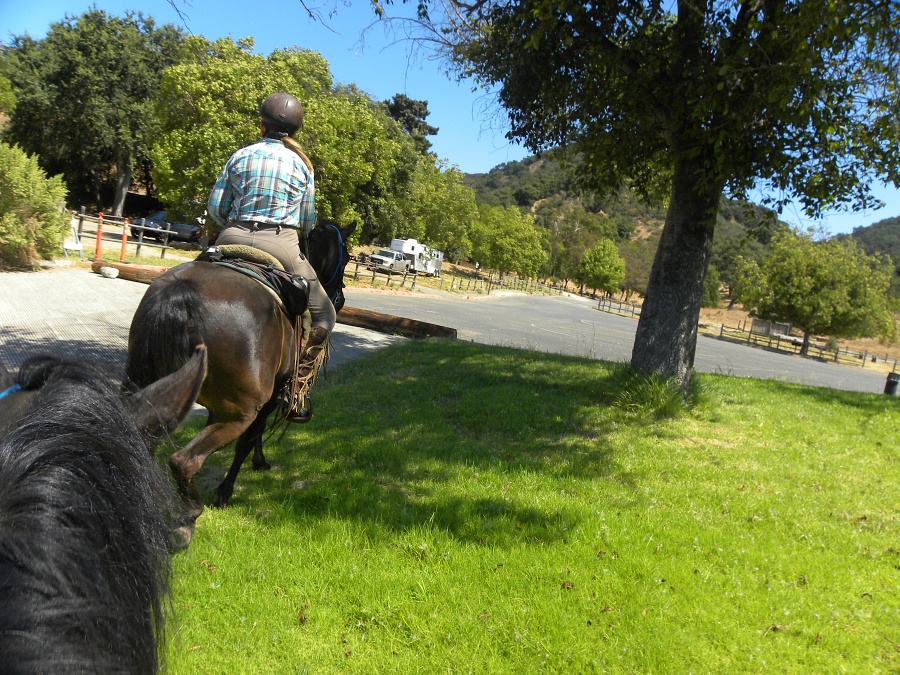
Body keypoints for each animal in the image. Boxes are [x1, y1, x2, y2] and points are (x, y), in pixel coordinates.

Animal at [125, 220, 355, 545]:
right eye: (345, 258)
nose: (341, 299)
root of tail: (183, 294)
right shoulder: (269, 397)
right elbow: (248, 440)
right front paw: (226, 490)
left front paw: (259, 462)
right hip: (237, 413)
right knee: (184, 460)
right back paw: (189, 517)